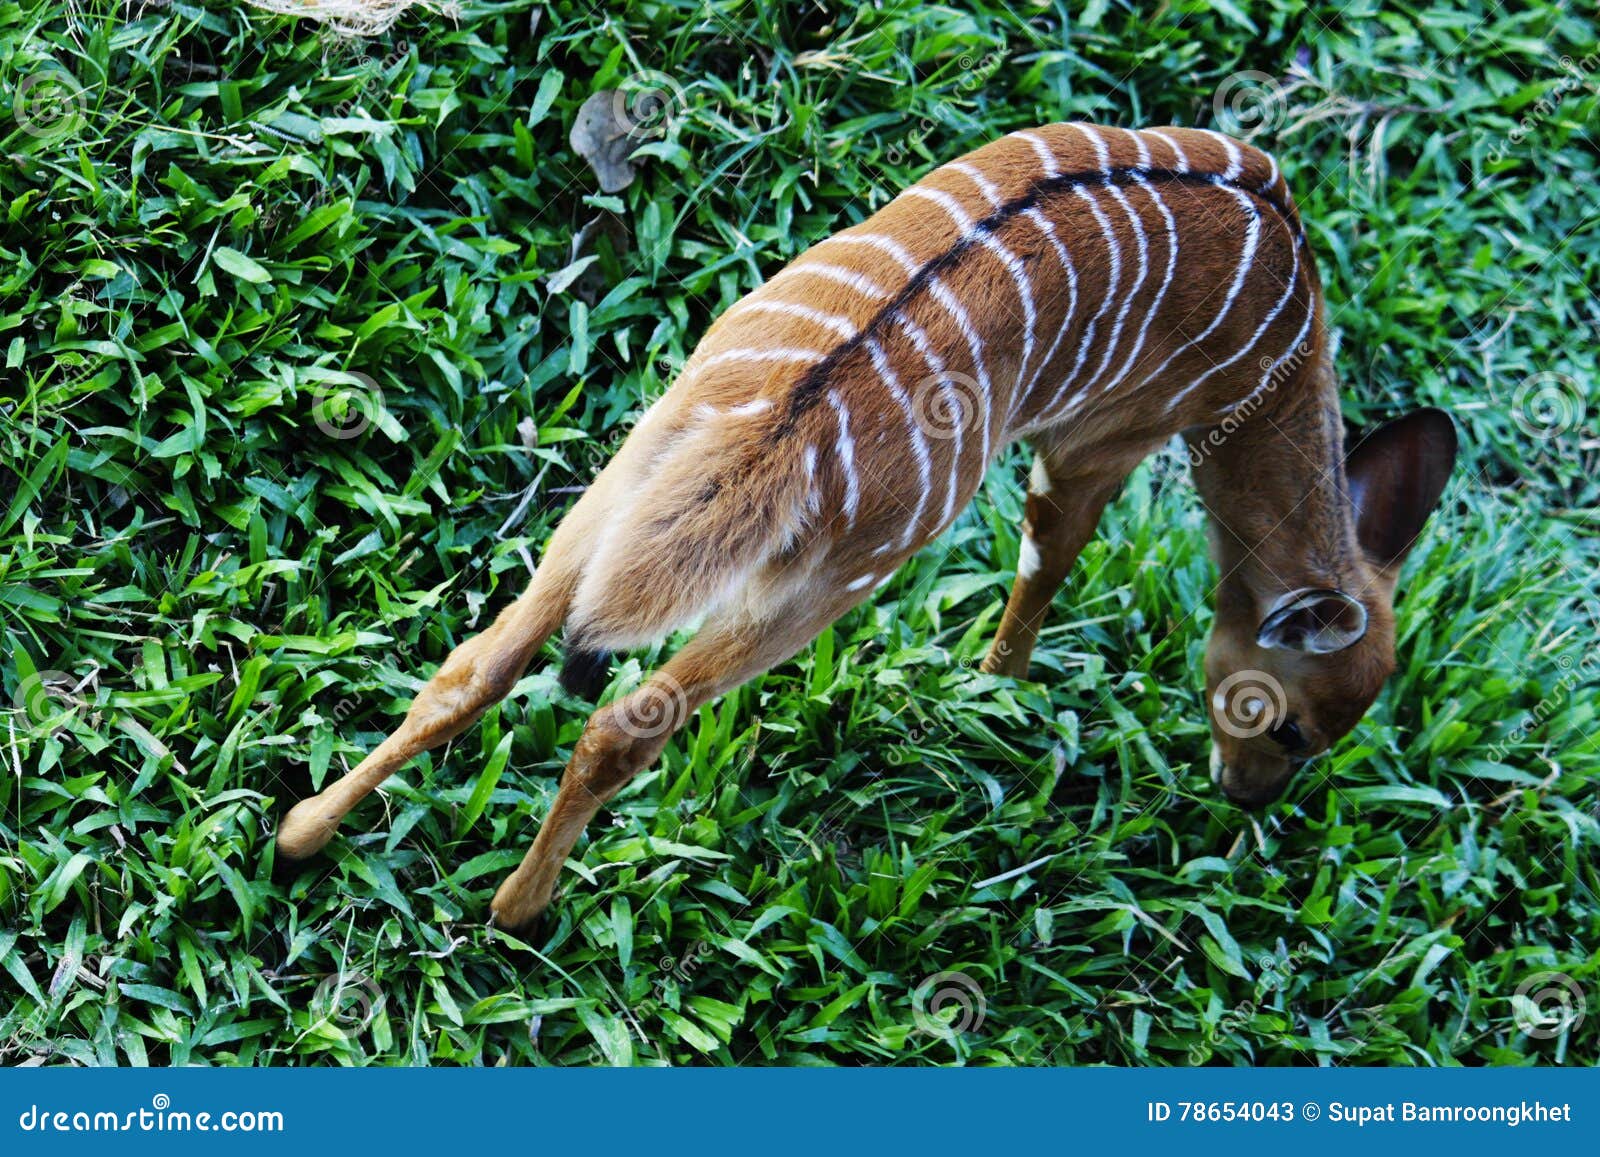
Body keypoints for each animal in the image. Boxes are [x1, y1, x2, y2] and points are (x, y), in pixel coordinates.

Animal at [276, 122, 1457, 930]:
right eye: (1292, 727)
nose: (1244, 797)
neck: (1277, 346)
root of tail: (779, 423)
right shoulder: (1100, 441)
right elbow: (1048, 552)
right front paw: (1000, 684)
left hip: (627, 478)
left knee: (474, 663)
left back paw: (299, 832)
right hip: (836, 576)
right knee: (623, 722)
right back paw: (517, 910)